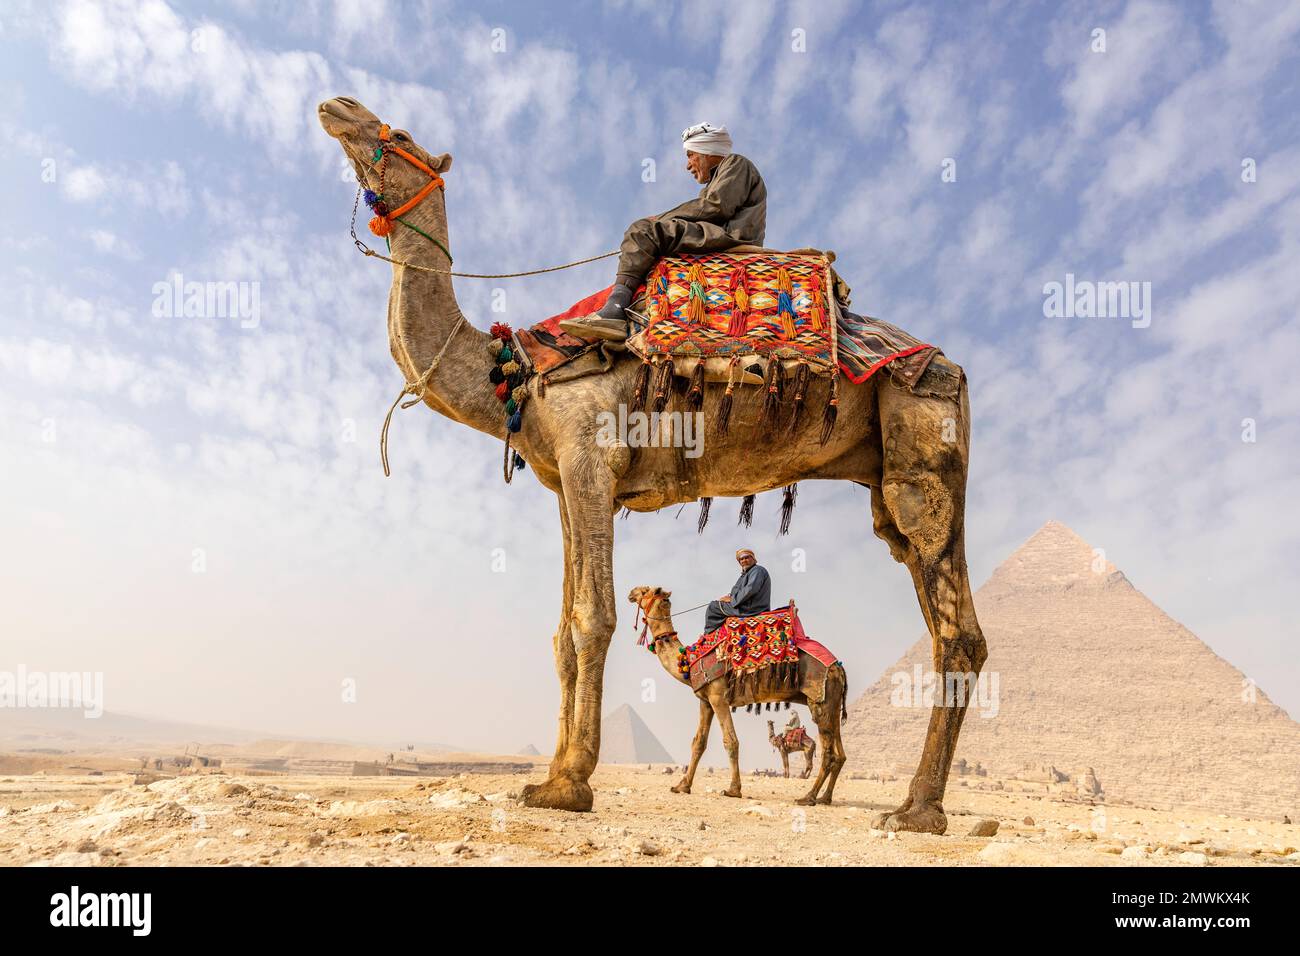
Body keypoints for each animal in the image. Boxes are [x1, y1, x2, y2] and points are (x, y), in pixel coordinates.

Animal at [629, 587, 845, 805]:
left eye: (645, 591)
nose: (631, 592)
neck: (688, 661)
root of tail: (838, 668)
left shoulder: (718, 697)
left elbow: (730, 741)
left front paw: (733, 789)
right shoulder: (705, 701)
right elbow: (698, 742)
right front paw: (682, 786)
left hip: (819, 700)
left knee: (828, 753)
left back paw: (809, 796)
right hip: (832, 704)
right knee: (840, 754)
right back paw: (825, 797)